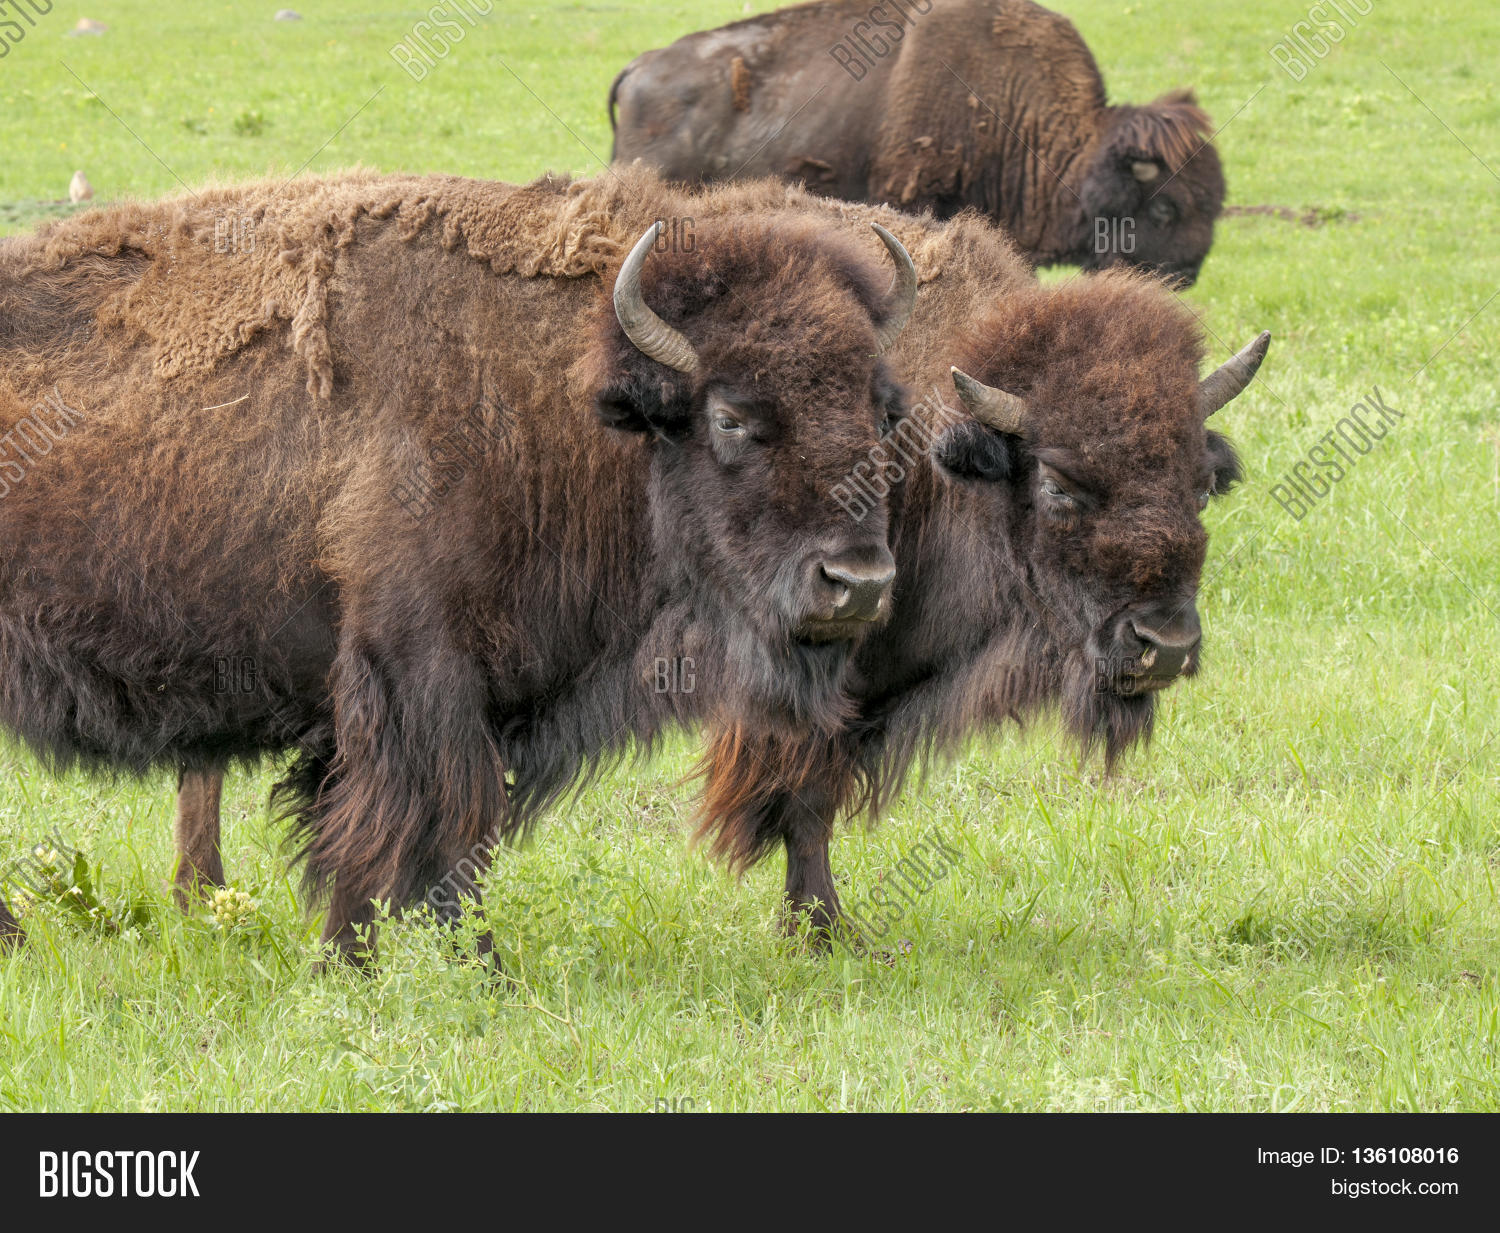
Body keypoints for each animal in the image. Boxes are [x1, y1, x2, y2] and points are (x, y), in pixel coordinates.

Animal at [0, 169, 919, 961]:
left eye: (882, 408)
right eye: (729, 416)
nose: (859, 585)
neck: (568, 400)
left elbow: (411, 833)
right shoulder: (414, 668)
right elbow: (426, 821)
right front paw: (408, 963)